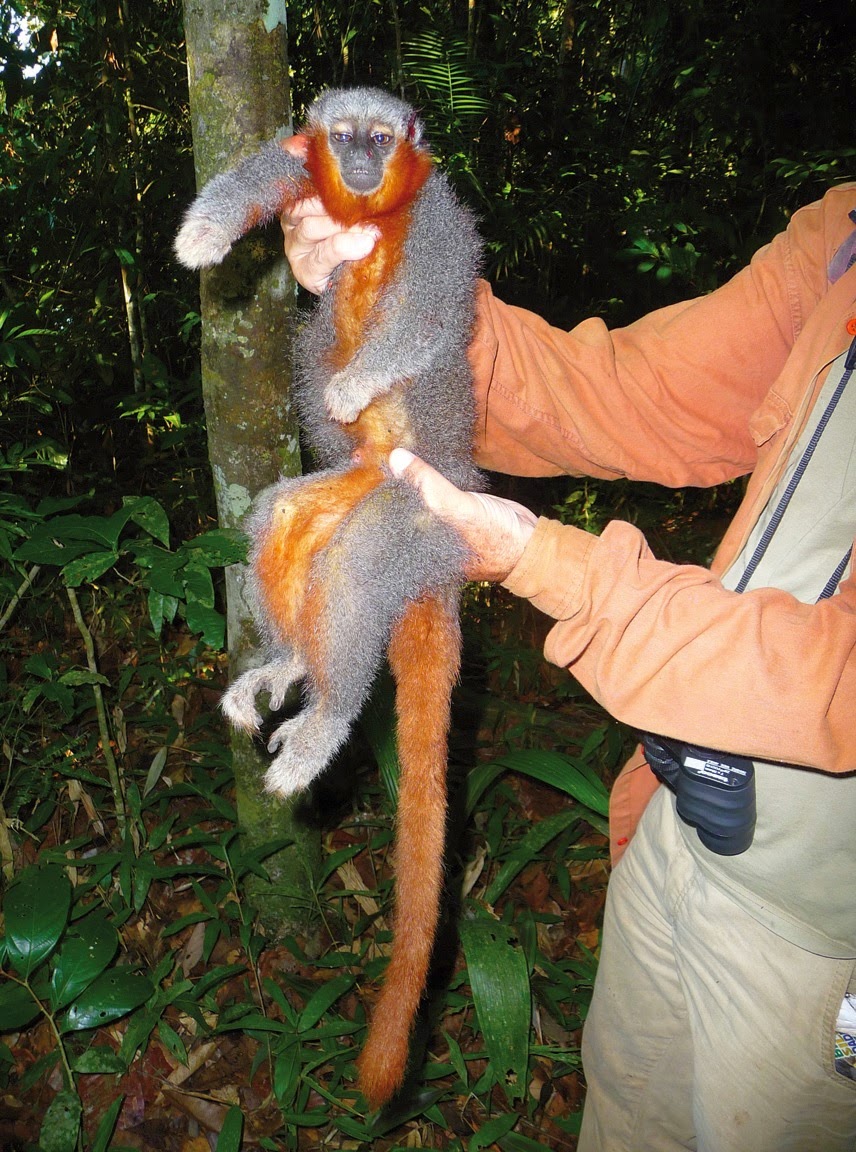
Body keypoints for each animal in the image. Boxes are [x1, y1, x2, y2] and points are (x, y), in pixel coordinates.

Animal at [174, 87, 483, 1109]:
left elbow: (432, 304)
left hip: (410, 518)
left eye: (382, 139)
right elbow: (265, 172)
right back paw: (287, 666)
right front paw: (208, 231)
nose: (358, 159)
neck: (371, 214)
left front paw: (356, 377)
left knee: (352, 575)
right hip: (345, 484)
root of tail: (438, 567)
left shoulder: (438, 217)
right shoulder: (304, 170)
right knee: (276, 515)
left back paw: (330, 715)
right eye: (343, 133)